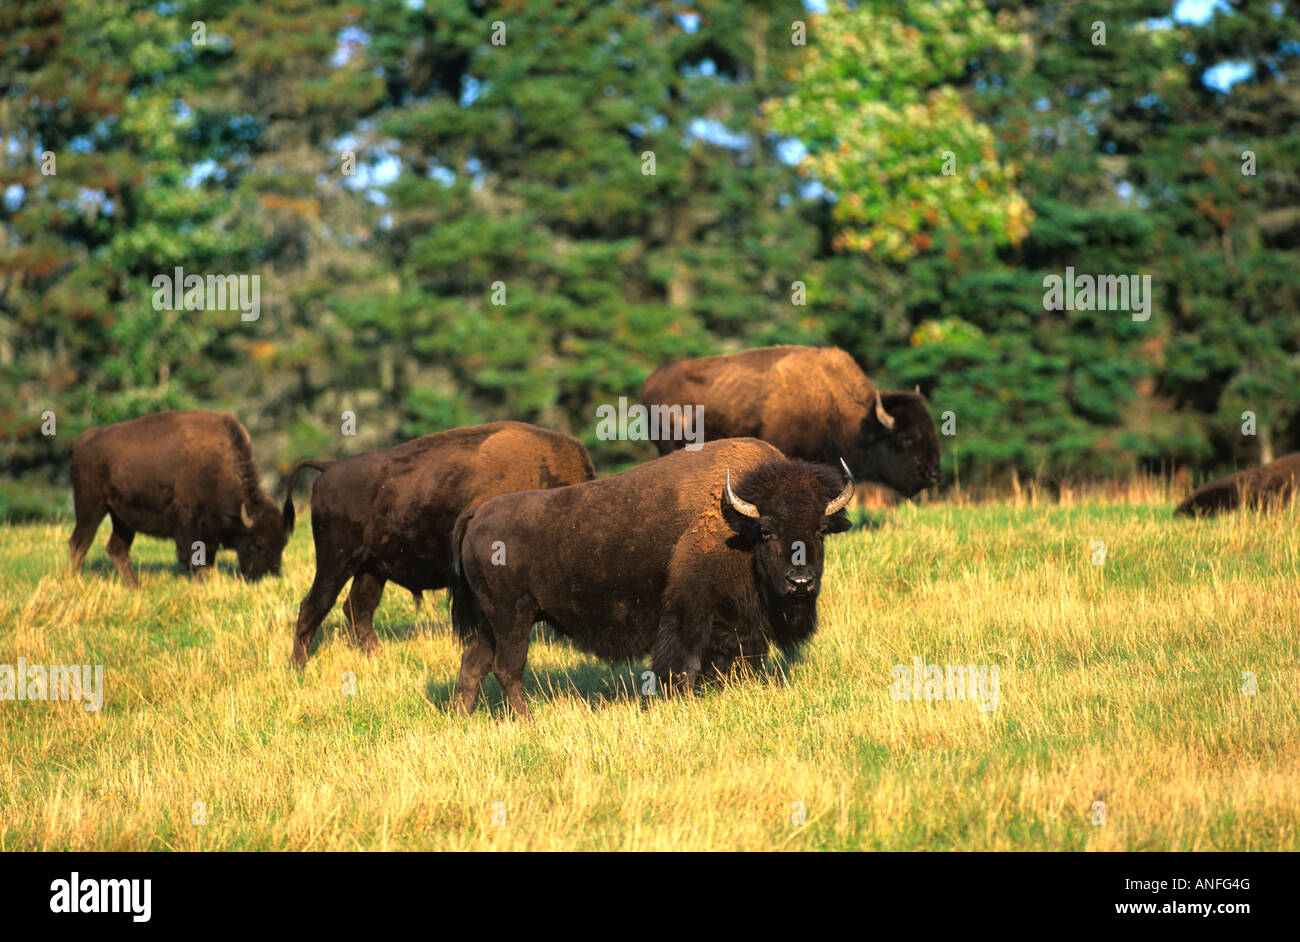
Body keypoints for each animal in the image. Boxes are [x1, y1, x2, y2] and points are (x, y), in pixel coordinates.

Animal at [69, 410, 289, 584]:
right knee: (79, 542)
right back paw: (77, 580)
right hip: (91, 508)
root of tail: (82, 441)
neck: (217, 465)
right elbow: (194, 555)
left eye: (283, 543)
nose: (268, 576)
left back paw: (135, 586)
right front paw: (202, 582)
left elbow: (208, 557)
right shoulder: (188, 518)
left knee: (116, 548)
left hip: (122, 518)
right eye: (257, 544)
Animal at [284, 421, 595, 667]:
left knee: (358, 607)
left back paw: (377, 657)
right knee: (314, 605)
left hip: (371, 568)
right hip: (336, 561)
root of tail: (329, 468)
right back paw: (298, 666)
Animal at [448, 438, 854, 716]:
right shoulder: (691, 613)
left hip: (490, 623)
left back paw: (464, 720)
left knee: (474, 664)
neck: (739, 528)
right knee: (507, 669)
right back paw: (528, 720)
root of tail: (478, 513)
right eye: (767, 531)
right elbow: (685, 666)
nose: (800, 582)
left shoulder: (739, 625)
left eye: (821, 529)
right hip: (512, 619)